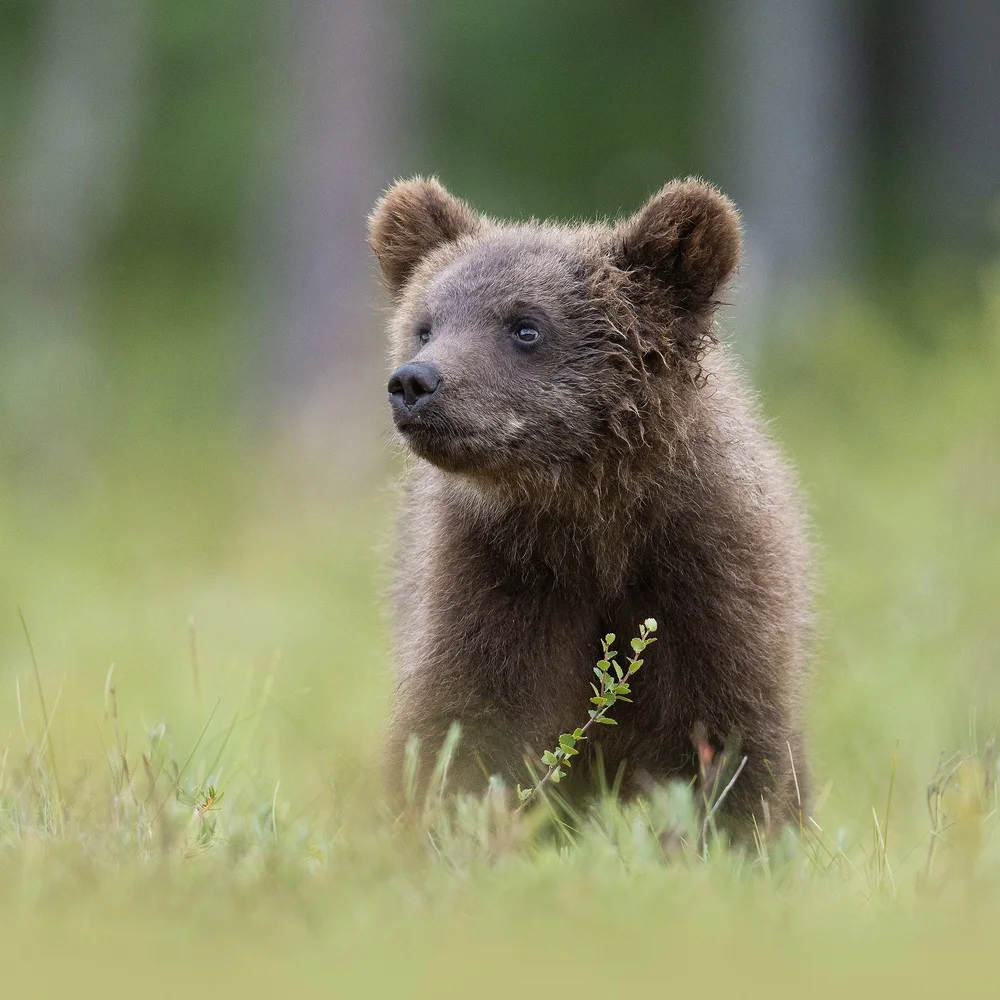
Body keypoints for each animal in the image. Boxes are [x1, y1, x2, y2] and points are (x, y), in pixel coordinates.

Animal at [369, 176, 812, 828]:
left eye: (525, 327)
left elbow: (731, 740)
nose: (415, 382)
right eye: (426, 325)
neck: (591, 522)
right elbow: (461, 727)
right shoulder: (494, 580)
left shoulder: (708, 579)